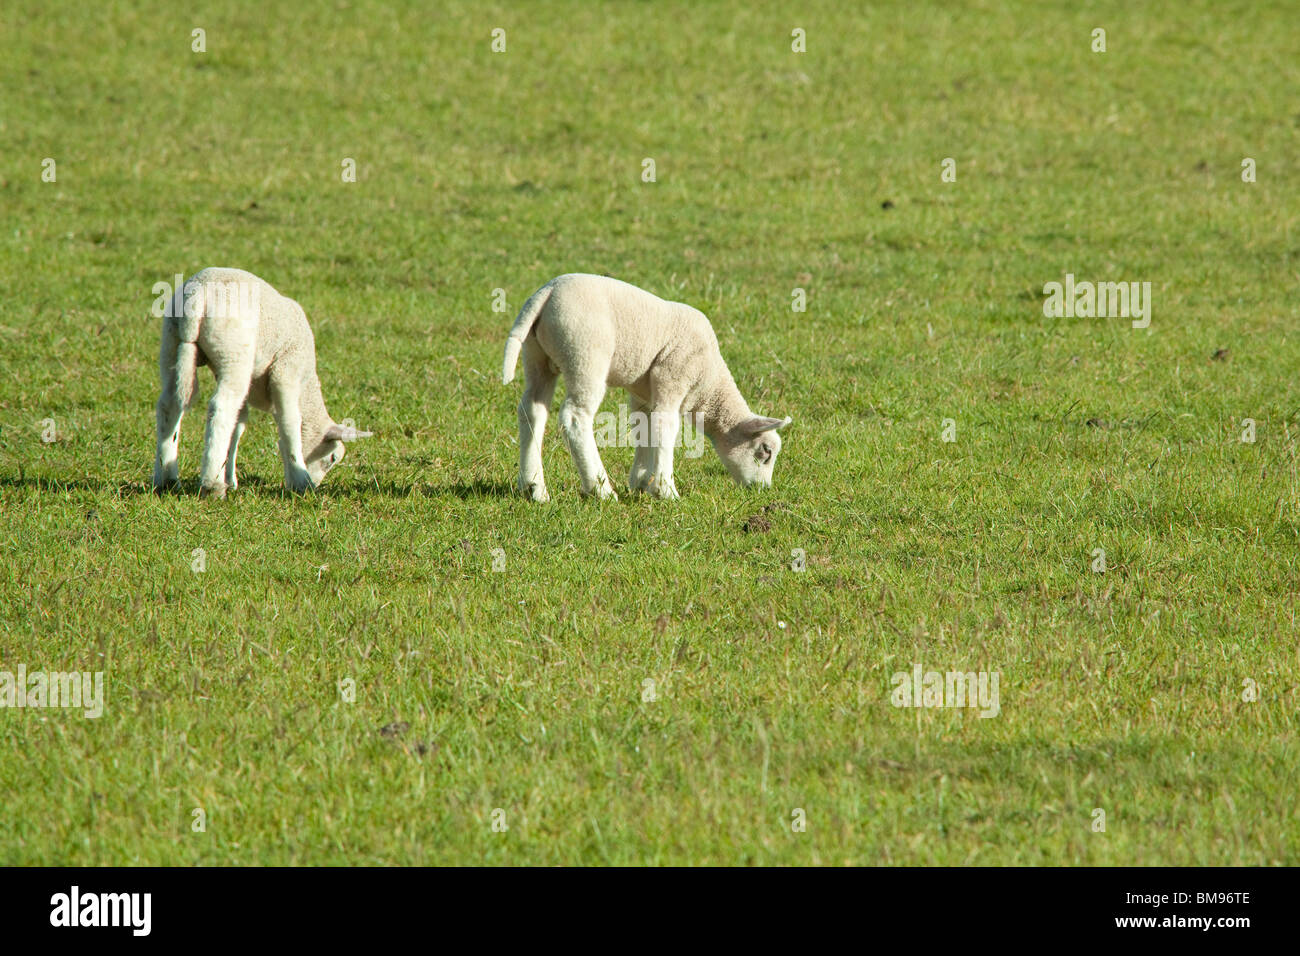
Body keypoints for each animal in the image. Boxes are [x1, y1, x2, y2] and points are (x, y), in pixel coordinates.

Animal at [152, 267, 370, 497]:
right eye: (332, 458)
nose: (316, 486)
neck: (306, 385)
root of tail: (199, 296)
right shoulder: (286, 371)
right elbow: (290, 422)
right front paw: (300, 481)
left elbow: (238, 424)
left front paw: (231, 478)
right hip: (234, 350)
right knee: (221, 407)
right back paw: (213, 485)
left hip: (171, 341)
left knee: (169, 405)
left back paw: (167, 480)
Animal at [502, 273, 791, 501]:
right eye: (765, 452)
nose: (763, 490)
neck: (709, 386)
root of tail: (546, 293)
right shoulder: (673, 375)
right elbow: (666, 426)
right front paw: (665, 490)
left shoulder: (643, 393)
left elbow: (645, 428)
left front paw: (642, 481)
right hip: (585, 353)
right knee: (575, 417)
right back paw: (601, 489)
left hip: (536, 356)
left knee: (532, 410)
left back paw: (534, 488)